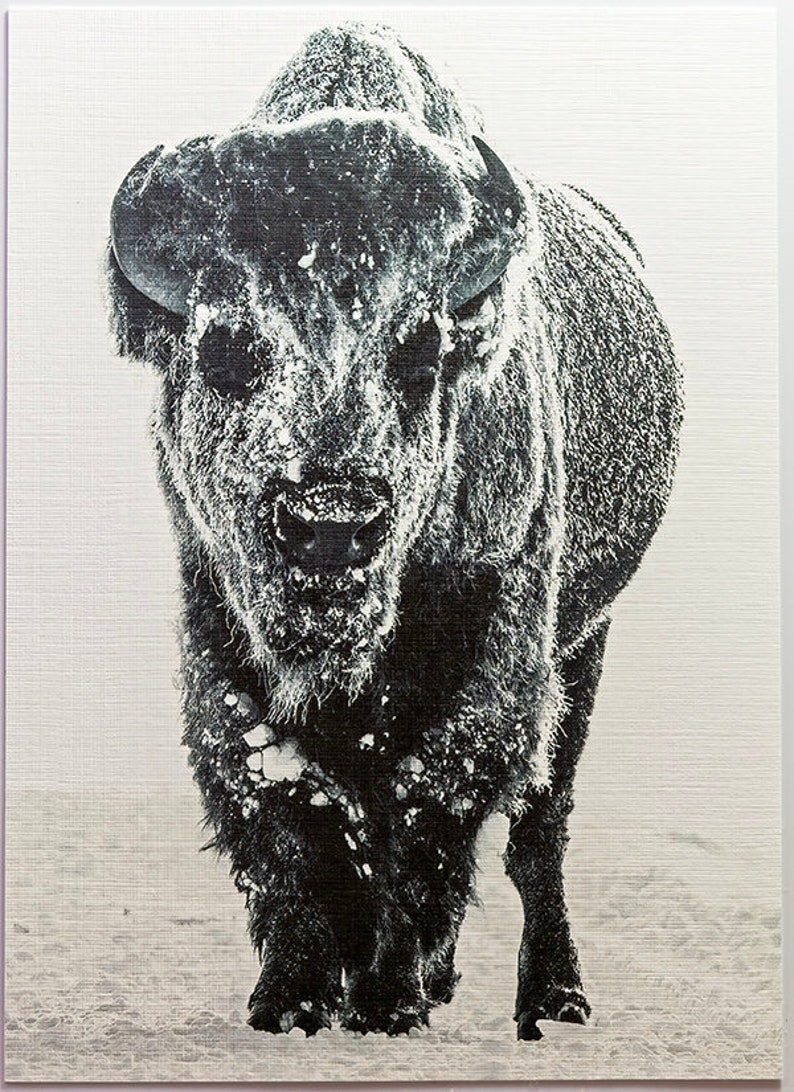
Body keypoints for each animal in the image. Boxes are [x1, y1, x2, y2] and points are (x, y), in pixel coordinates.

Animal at [107, 23, 682, 1039]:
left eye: (420, 354)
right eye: (223, 350)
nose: (332, 526)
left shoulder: (487, 662)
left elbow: (426, 812)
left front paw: (387, 1001)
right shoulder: (223, 645)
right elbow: (290, 810)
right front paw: (293, 998)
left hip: (585, 646)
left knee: (539, 827)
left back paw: (553, 997)